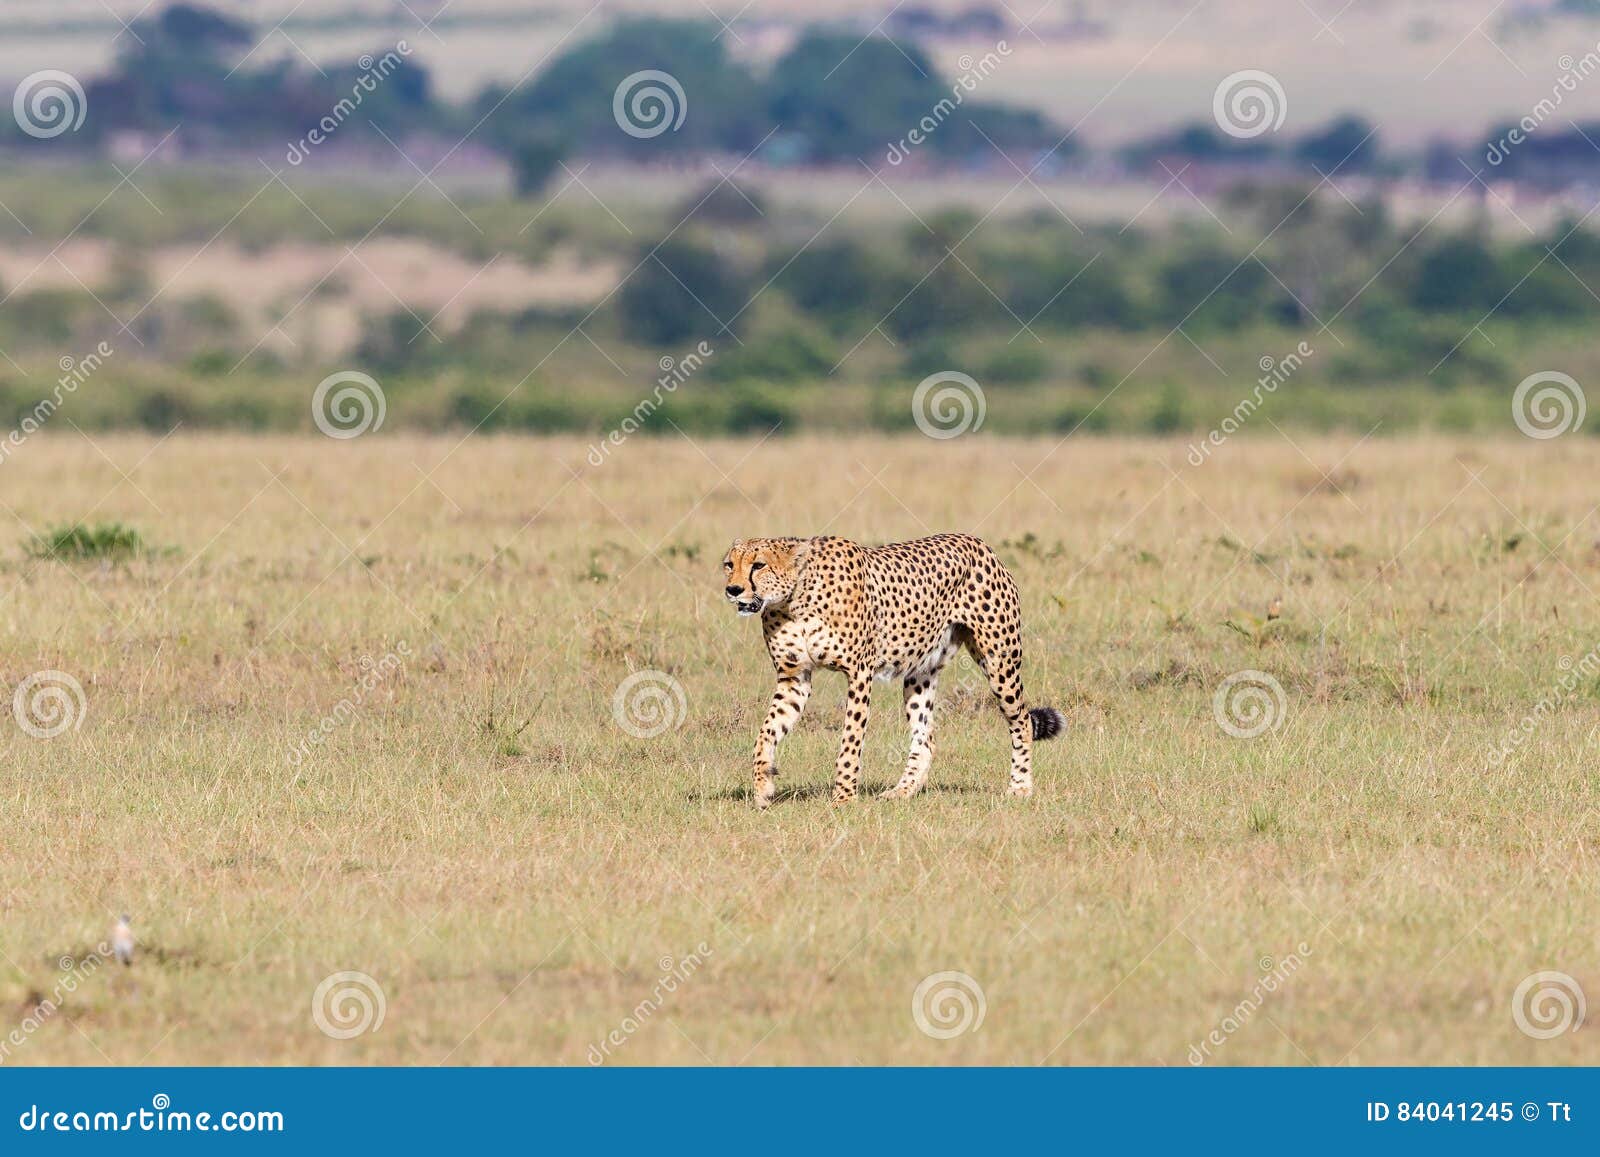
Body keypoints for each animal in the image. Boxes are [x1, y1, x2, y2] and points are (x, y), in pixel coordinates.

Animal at [722, 532, 1064, 808]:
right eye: (729, 564)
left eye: (758, 565)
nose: (733, 590)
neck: (795, 600)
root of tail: (978, 542)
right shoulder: (794, 678)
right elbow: (766, 732)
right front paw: (763, 787)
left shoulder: (859, 673)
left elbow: (850, 740)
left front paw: (843, 798)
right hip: (920, 672)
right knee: (926, 739)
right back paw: (902, 791)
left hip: (999, 661)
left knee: (1021, 721)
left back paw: (1020, 787)